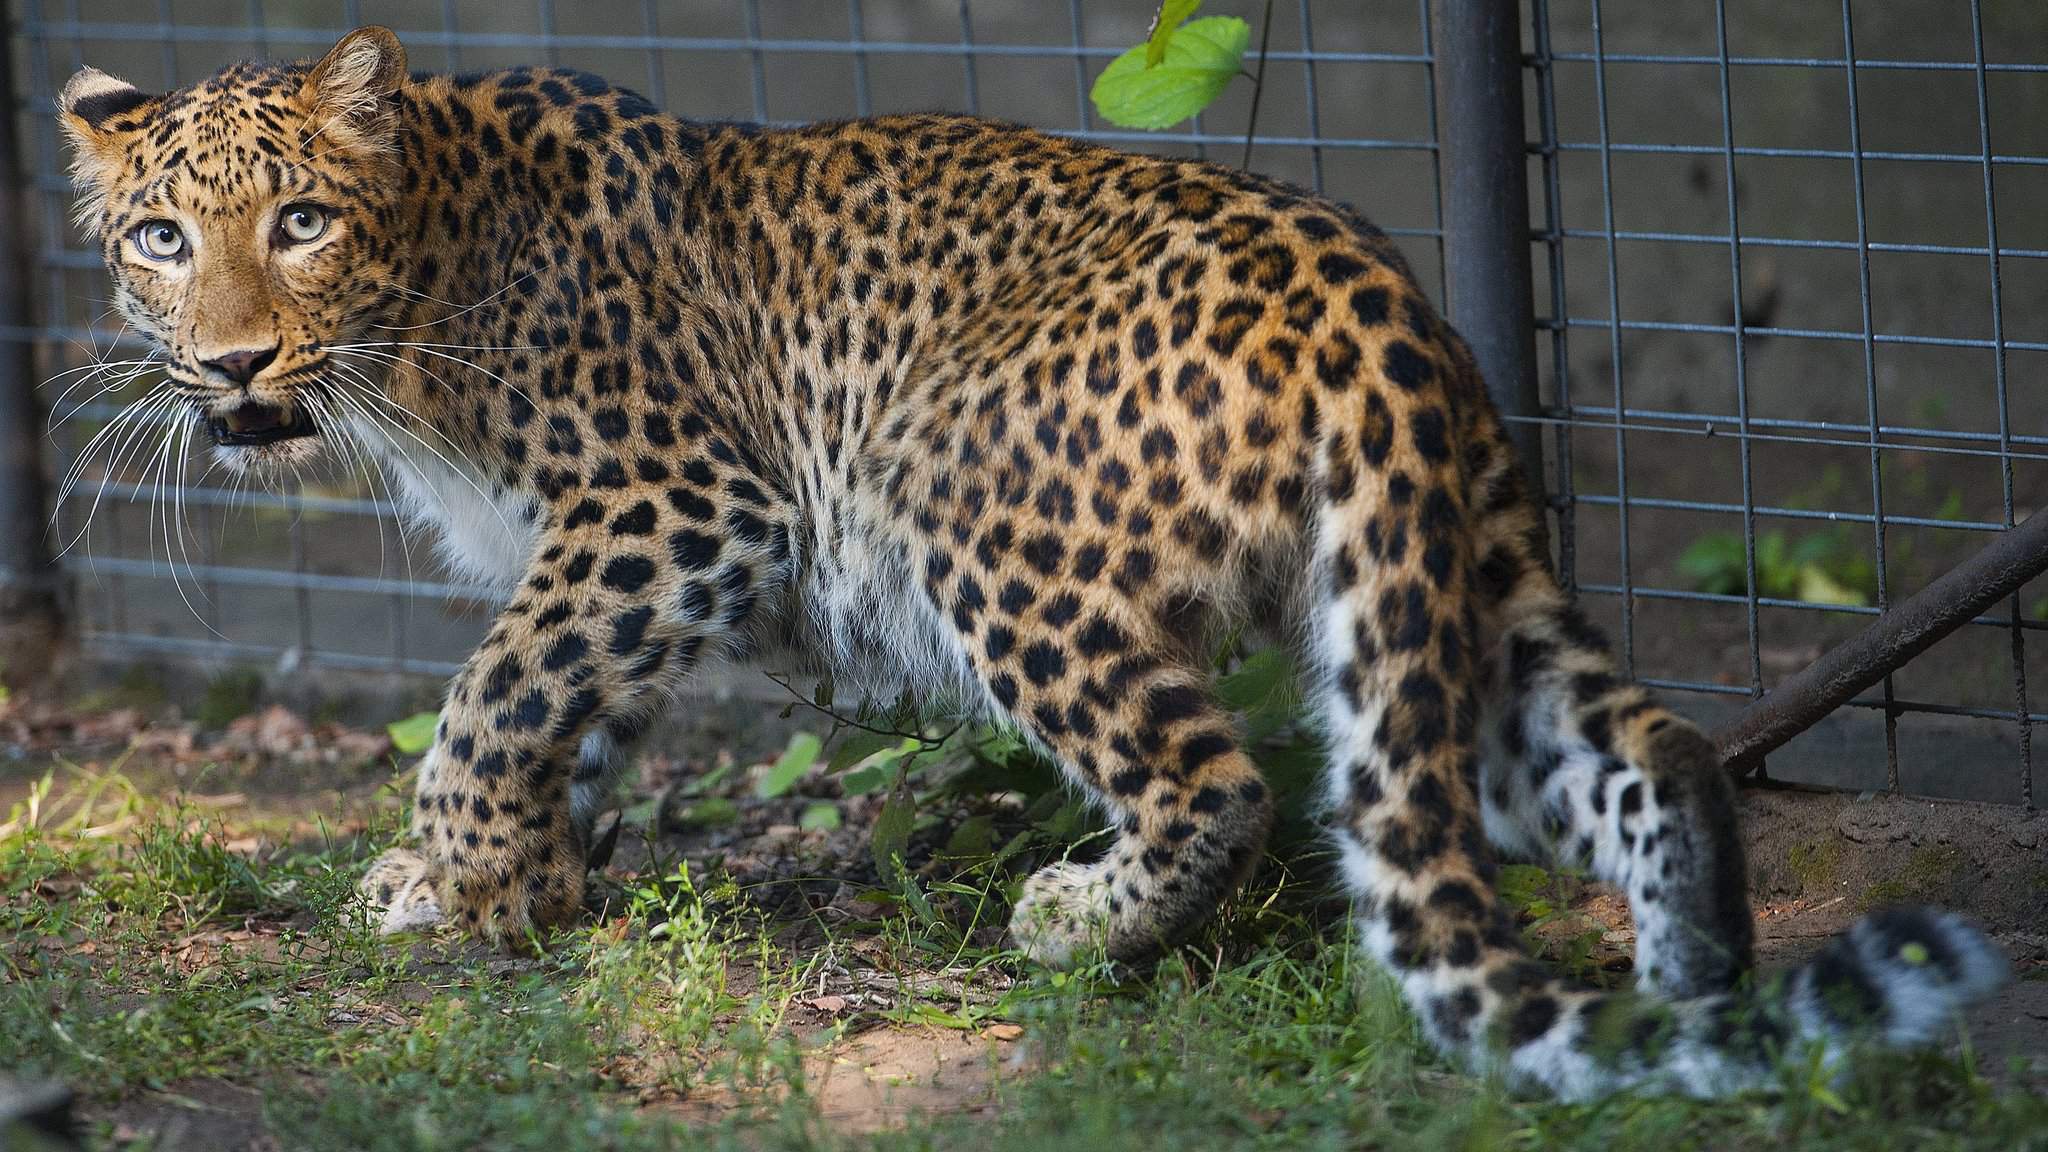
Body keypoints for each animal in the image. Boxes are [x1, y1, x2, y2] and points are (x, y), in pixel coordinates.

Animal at [59, 26, 2005, 1100]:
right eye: (158, 240)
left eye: (301, 218)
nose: (231, 363)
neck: (420, 308)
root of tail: (1376, 300)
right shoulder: (622, 559)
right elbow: (569, 713)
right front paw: (522, 886)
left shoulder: (679, 505)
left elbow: (493, 690)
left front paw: (446, 882)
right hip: (1453, 595)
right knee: (1647, 757)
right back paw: (1701, 1002)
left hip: (968, 511)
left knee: (1215, 774)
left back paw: (1085, 920)